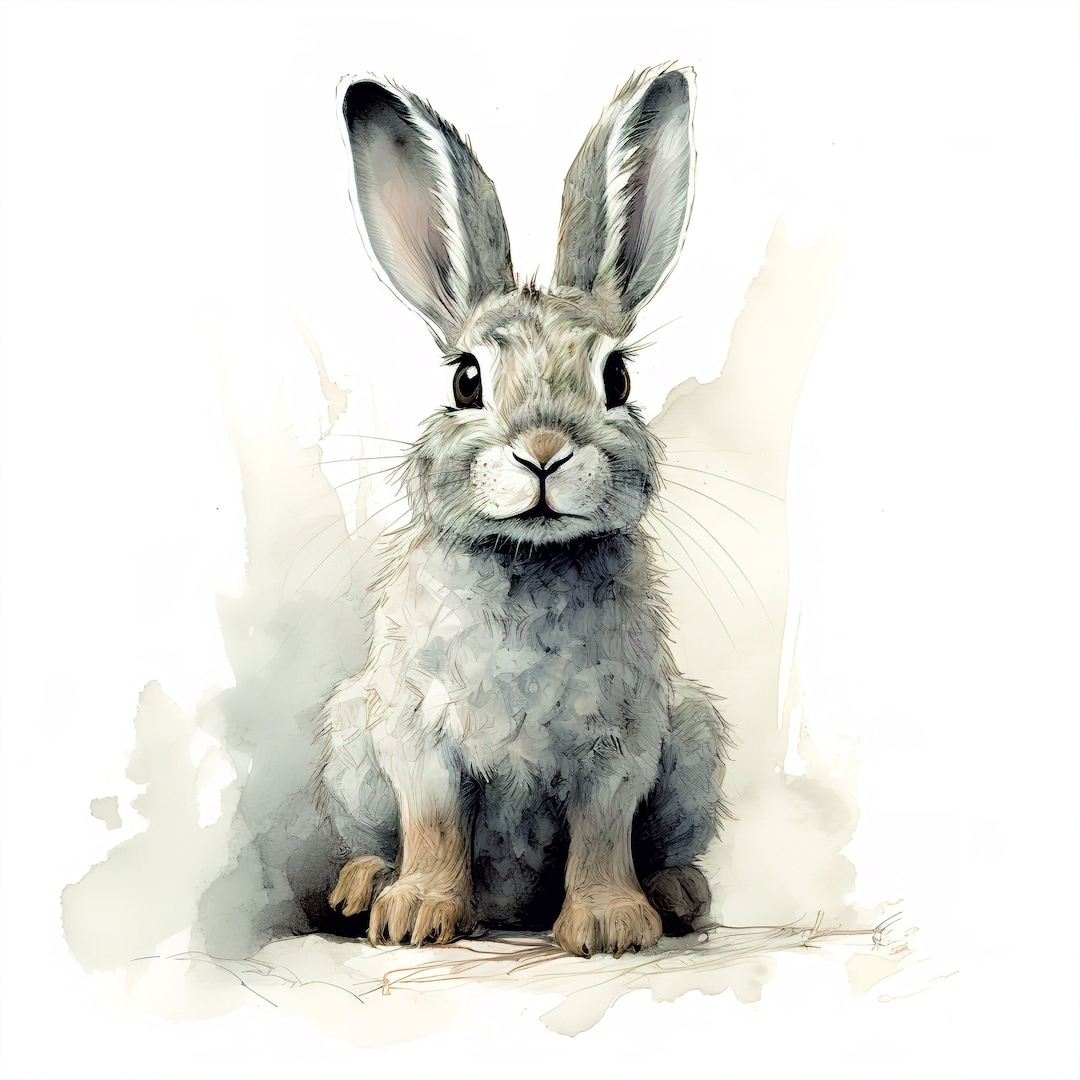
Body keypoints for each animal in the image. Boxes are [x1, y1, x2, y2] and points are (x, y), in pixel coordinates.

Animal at [315, 65, 726, 958]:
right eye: (466, 379)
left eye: (618, 378)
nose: (542, 451)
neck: (528, 558)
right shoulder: (417, 736)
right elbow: (434, 825)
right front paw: (415, 918)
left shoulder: (619, 745)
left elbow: (602, 835)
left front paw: (608, 929)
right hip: (351, 741)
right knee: (373, 836)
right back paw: (363, 889)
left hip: (696, 741)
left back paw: (676, 895)